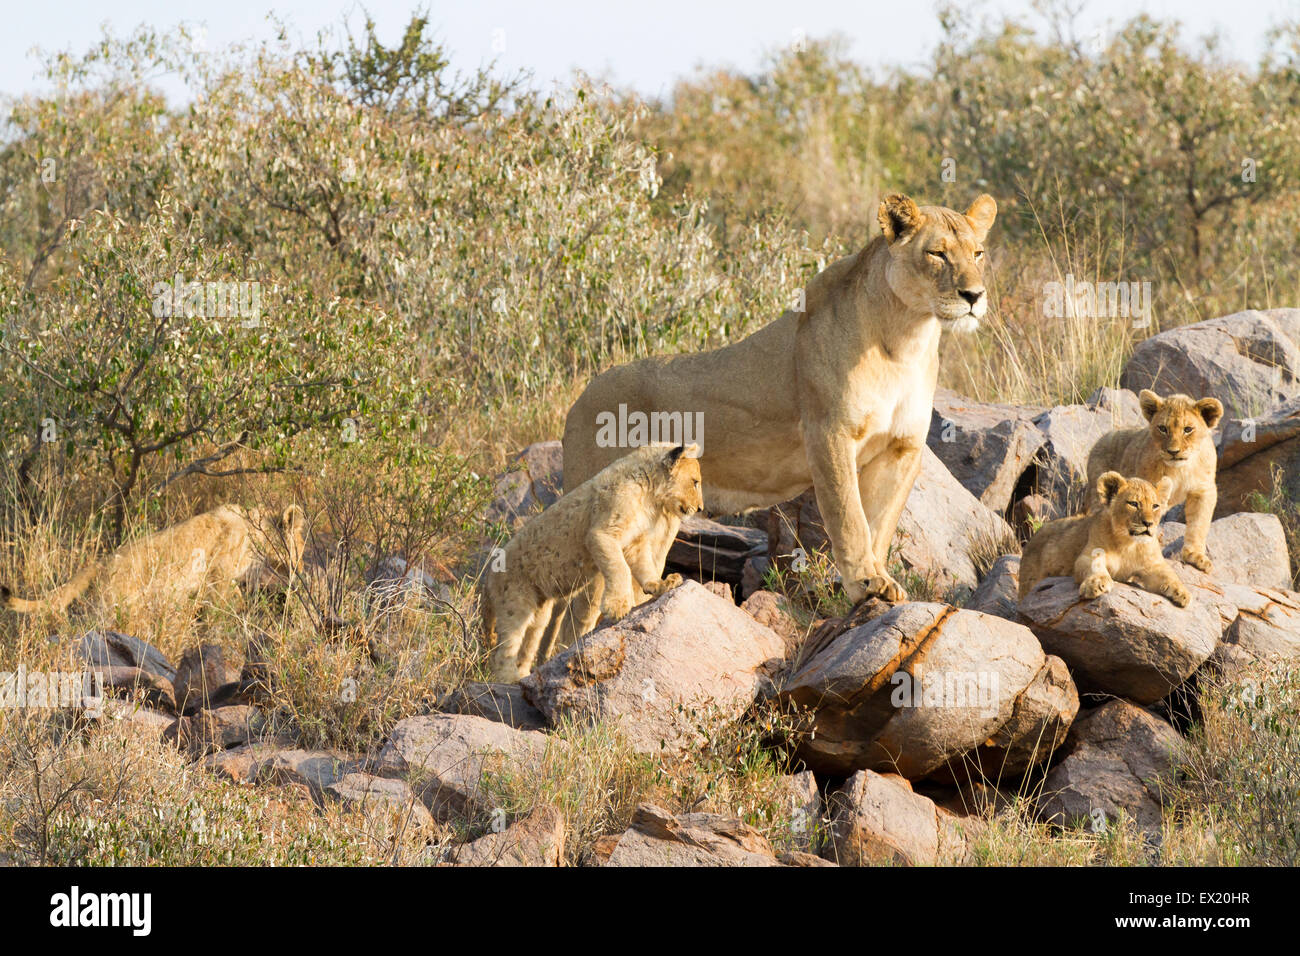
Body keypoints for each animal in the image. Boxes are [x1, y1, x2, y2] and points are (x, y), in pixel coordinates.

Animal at [1, 504, 306, 618]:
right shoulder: (216, 581)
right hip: (118, 606)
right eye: (302, 547)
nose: (302, 571)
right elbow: (225, 608)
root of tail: (101, 563)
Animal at [482, 443, 702, 682]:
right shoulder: (602, 533)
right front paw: (617, 607)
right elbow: (620, 569)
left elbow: (645, 567)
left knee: (529, 642)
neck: (650, 496)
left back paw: (523, 676)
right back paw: (509, 679)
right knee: (504, 648)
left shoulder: (635, 542)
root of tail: (488, 577)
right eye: (695, 482)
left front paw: (661, 584)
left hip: (539, 612)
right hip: (515, 602)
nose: (700, 508)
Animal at [553, 193, 995, 644]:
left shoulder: (902, 448)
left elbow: (880, 525)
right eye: (937, 253)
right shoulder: (829, 434)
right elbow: (850, 517)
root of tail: (579, 398)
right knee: (574, 613)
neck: (907, 338)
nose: (974, 295)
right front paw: (867, 584)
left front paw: (880, 579)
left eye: (978, 253)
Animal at [1018, 472, 1190, 606]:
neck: (1128, 543)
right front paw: (1096, 584)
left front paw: (1182, 593)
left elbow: (1169, 575)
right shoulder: (1089, 554)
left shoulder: (1153, 565)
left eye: (1155, 506)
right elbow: (1095, 566)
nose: (1149, 523)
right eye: (1133, 503)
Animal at [1086, 388, 1223, 572]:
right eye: (1163, 428)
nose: (1173, 451)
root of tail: (1101, 439)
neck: (1179, 469)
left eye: (1188, 429)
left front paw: (1196, 556)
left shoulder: (1203, 490)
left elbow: (1199, 524)